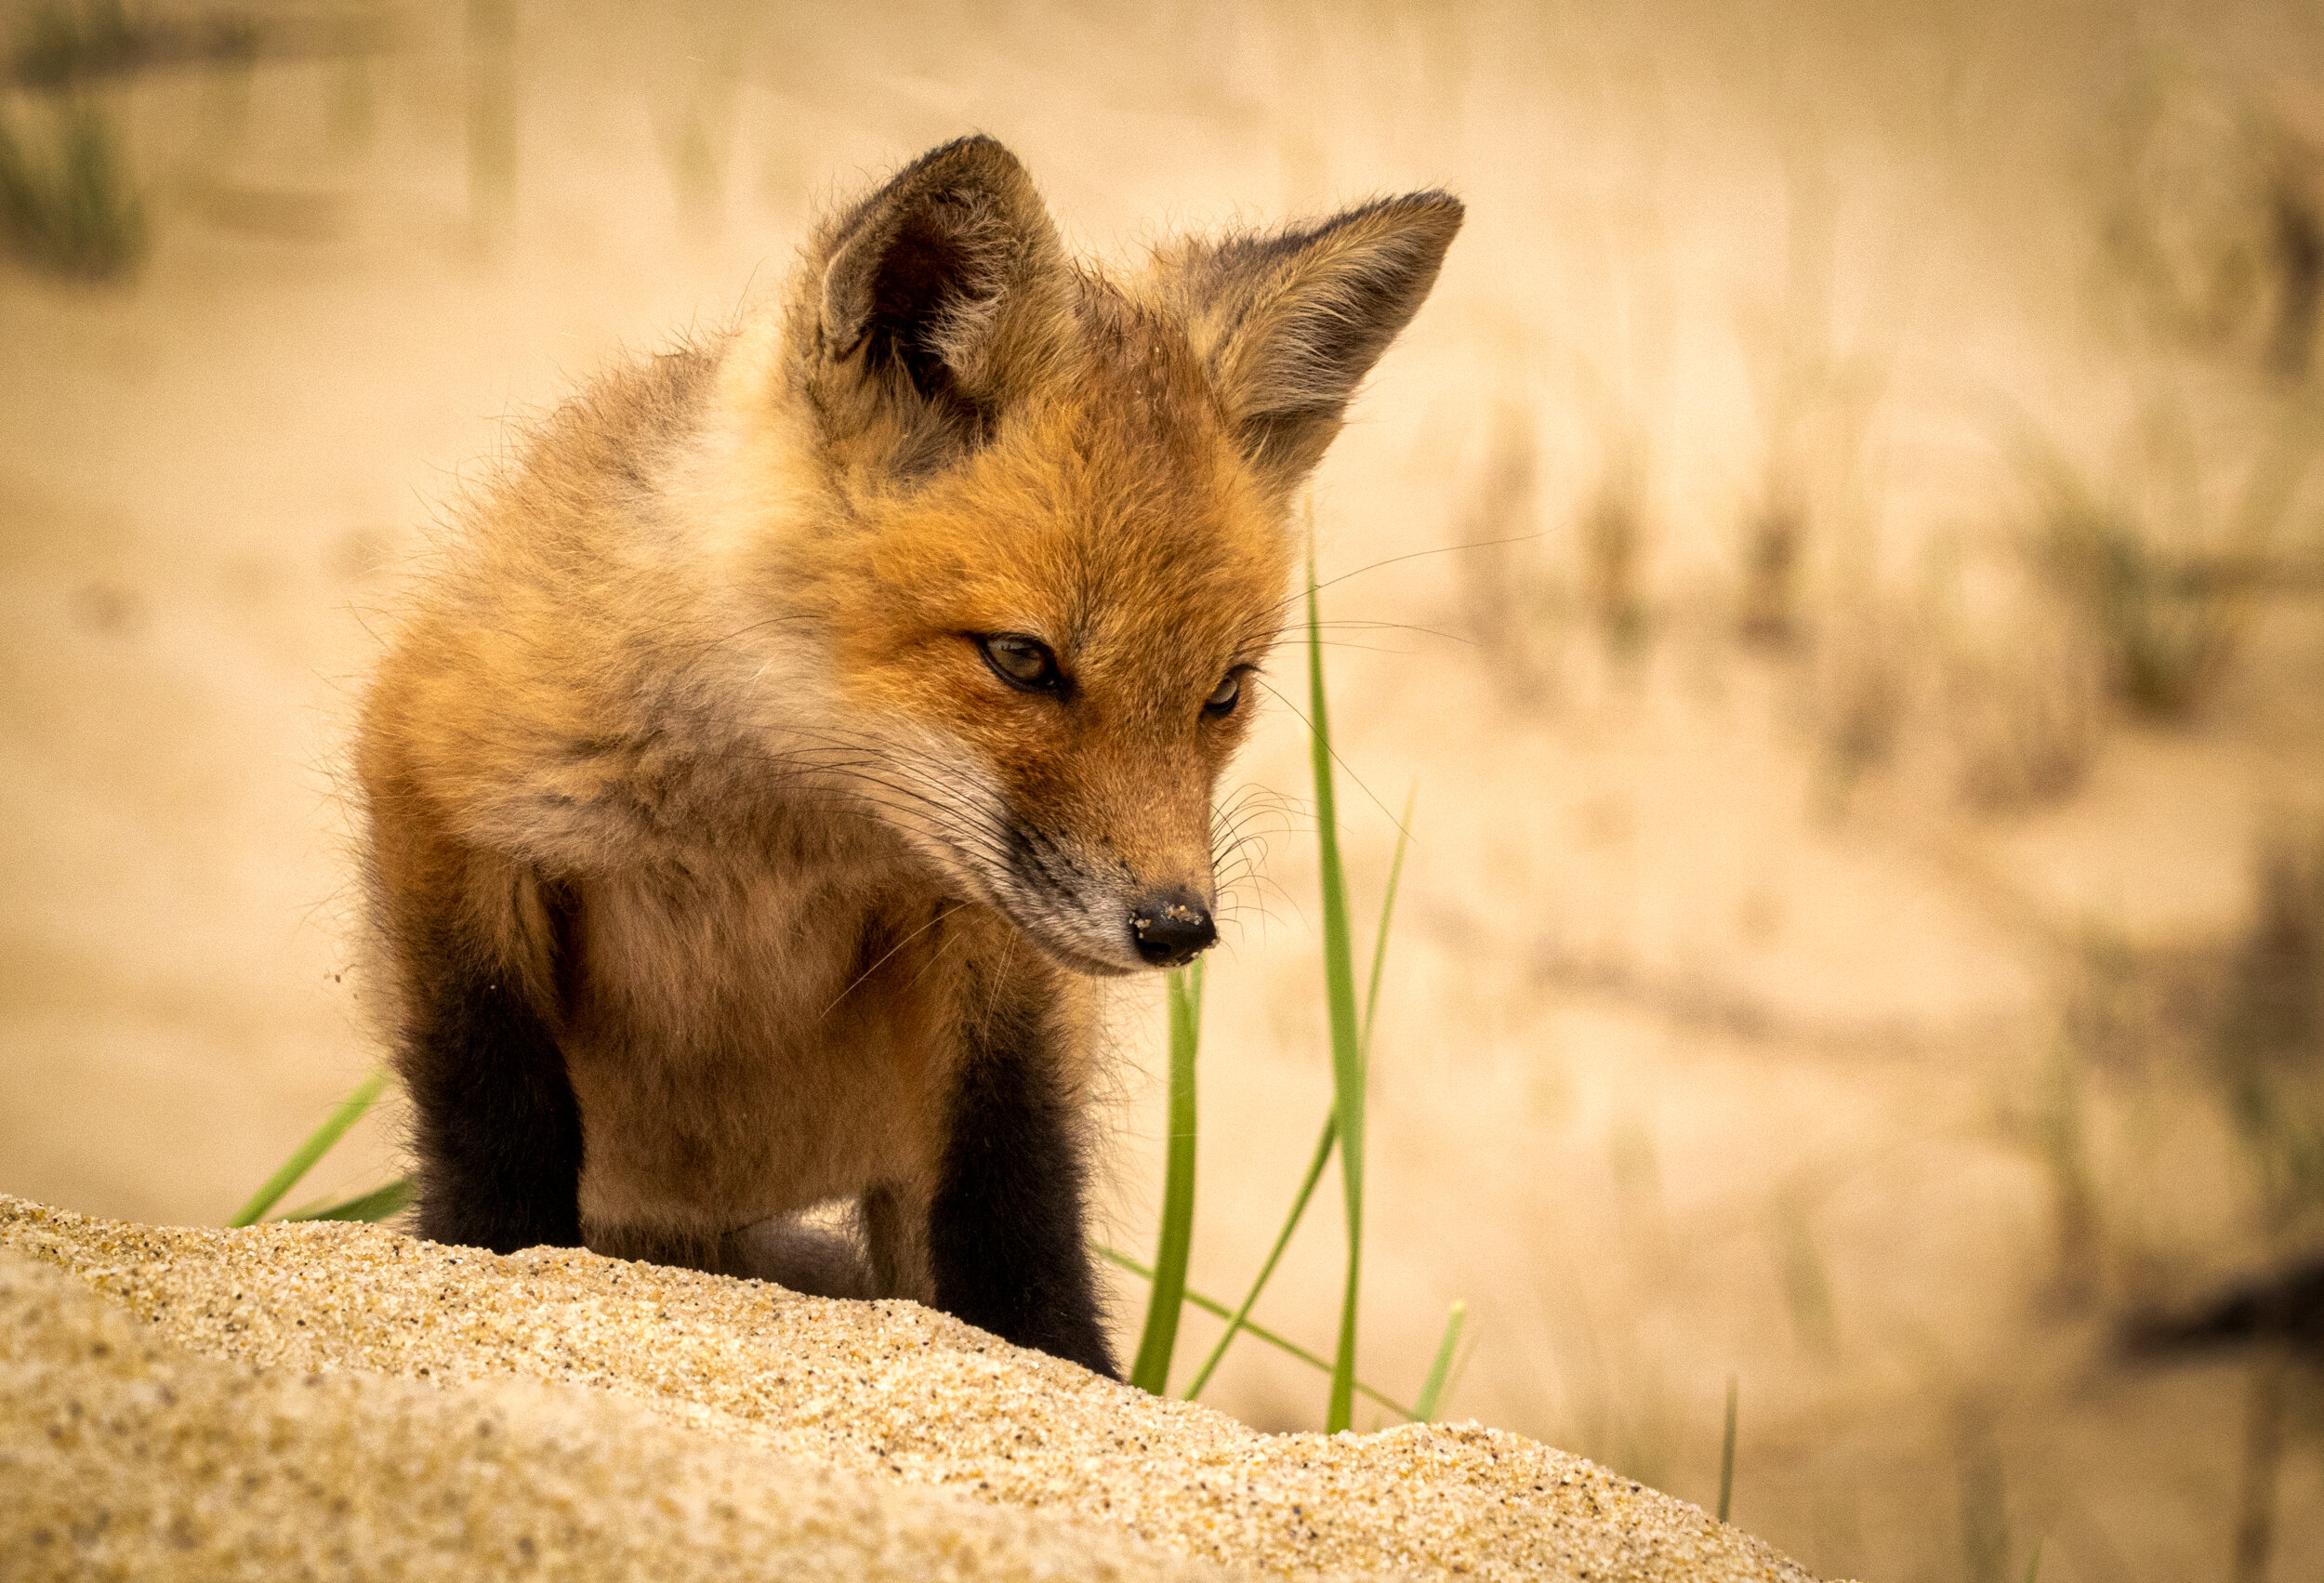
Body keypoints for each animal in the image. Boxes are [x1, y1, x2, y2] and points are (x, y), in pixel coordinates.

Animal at [357, 135, 1459, 1378]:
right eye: (1023, 659)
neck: (777, 823)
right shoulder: (440, 794)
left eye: (1222, 692)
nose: (1178, 927)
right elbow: (494, 1107)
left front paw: (1062, 1363)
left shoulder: (991, 949)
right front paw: (490, 1261)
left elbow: (1012, 1186)